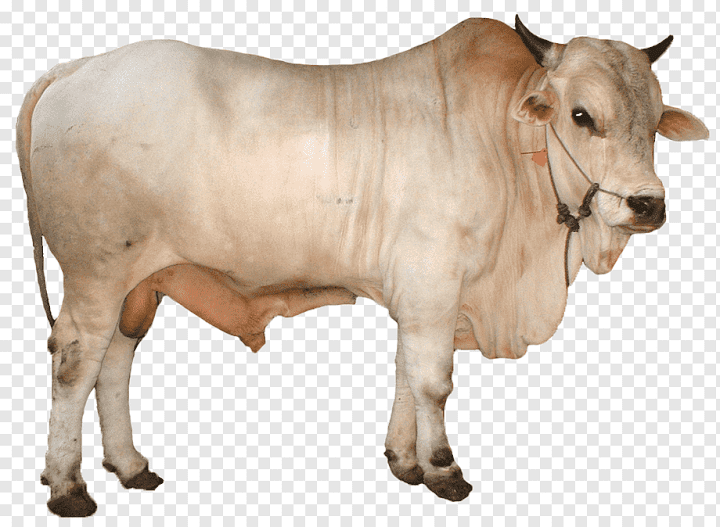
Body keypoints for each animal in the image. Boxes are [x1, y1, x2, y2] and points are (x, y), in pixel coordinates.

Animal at [16, 16, 708, 516]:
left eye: (654, 121)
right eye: (581, 114)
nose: (647, 204)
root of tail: (76, 67)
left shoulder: (422, 298)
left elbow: (406, 373)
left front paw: (404, 461)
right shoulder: (434, 286)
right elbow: (433, 382)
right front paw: (444, 469)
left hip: (140, 284)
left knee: (115, 362)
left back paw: (130, 465)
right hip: (96, 275)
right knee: (75, 364)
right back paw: (68, 486)